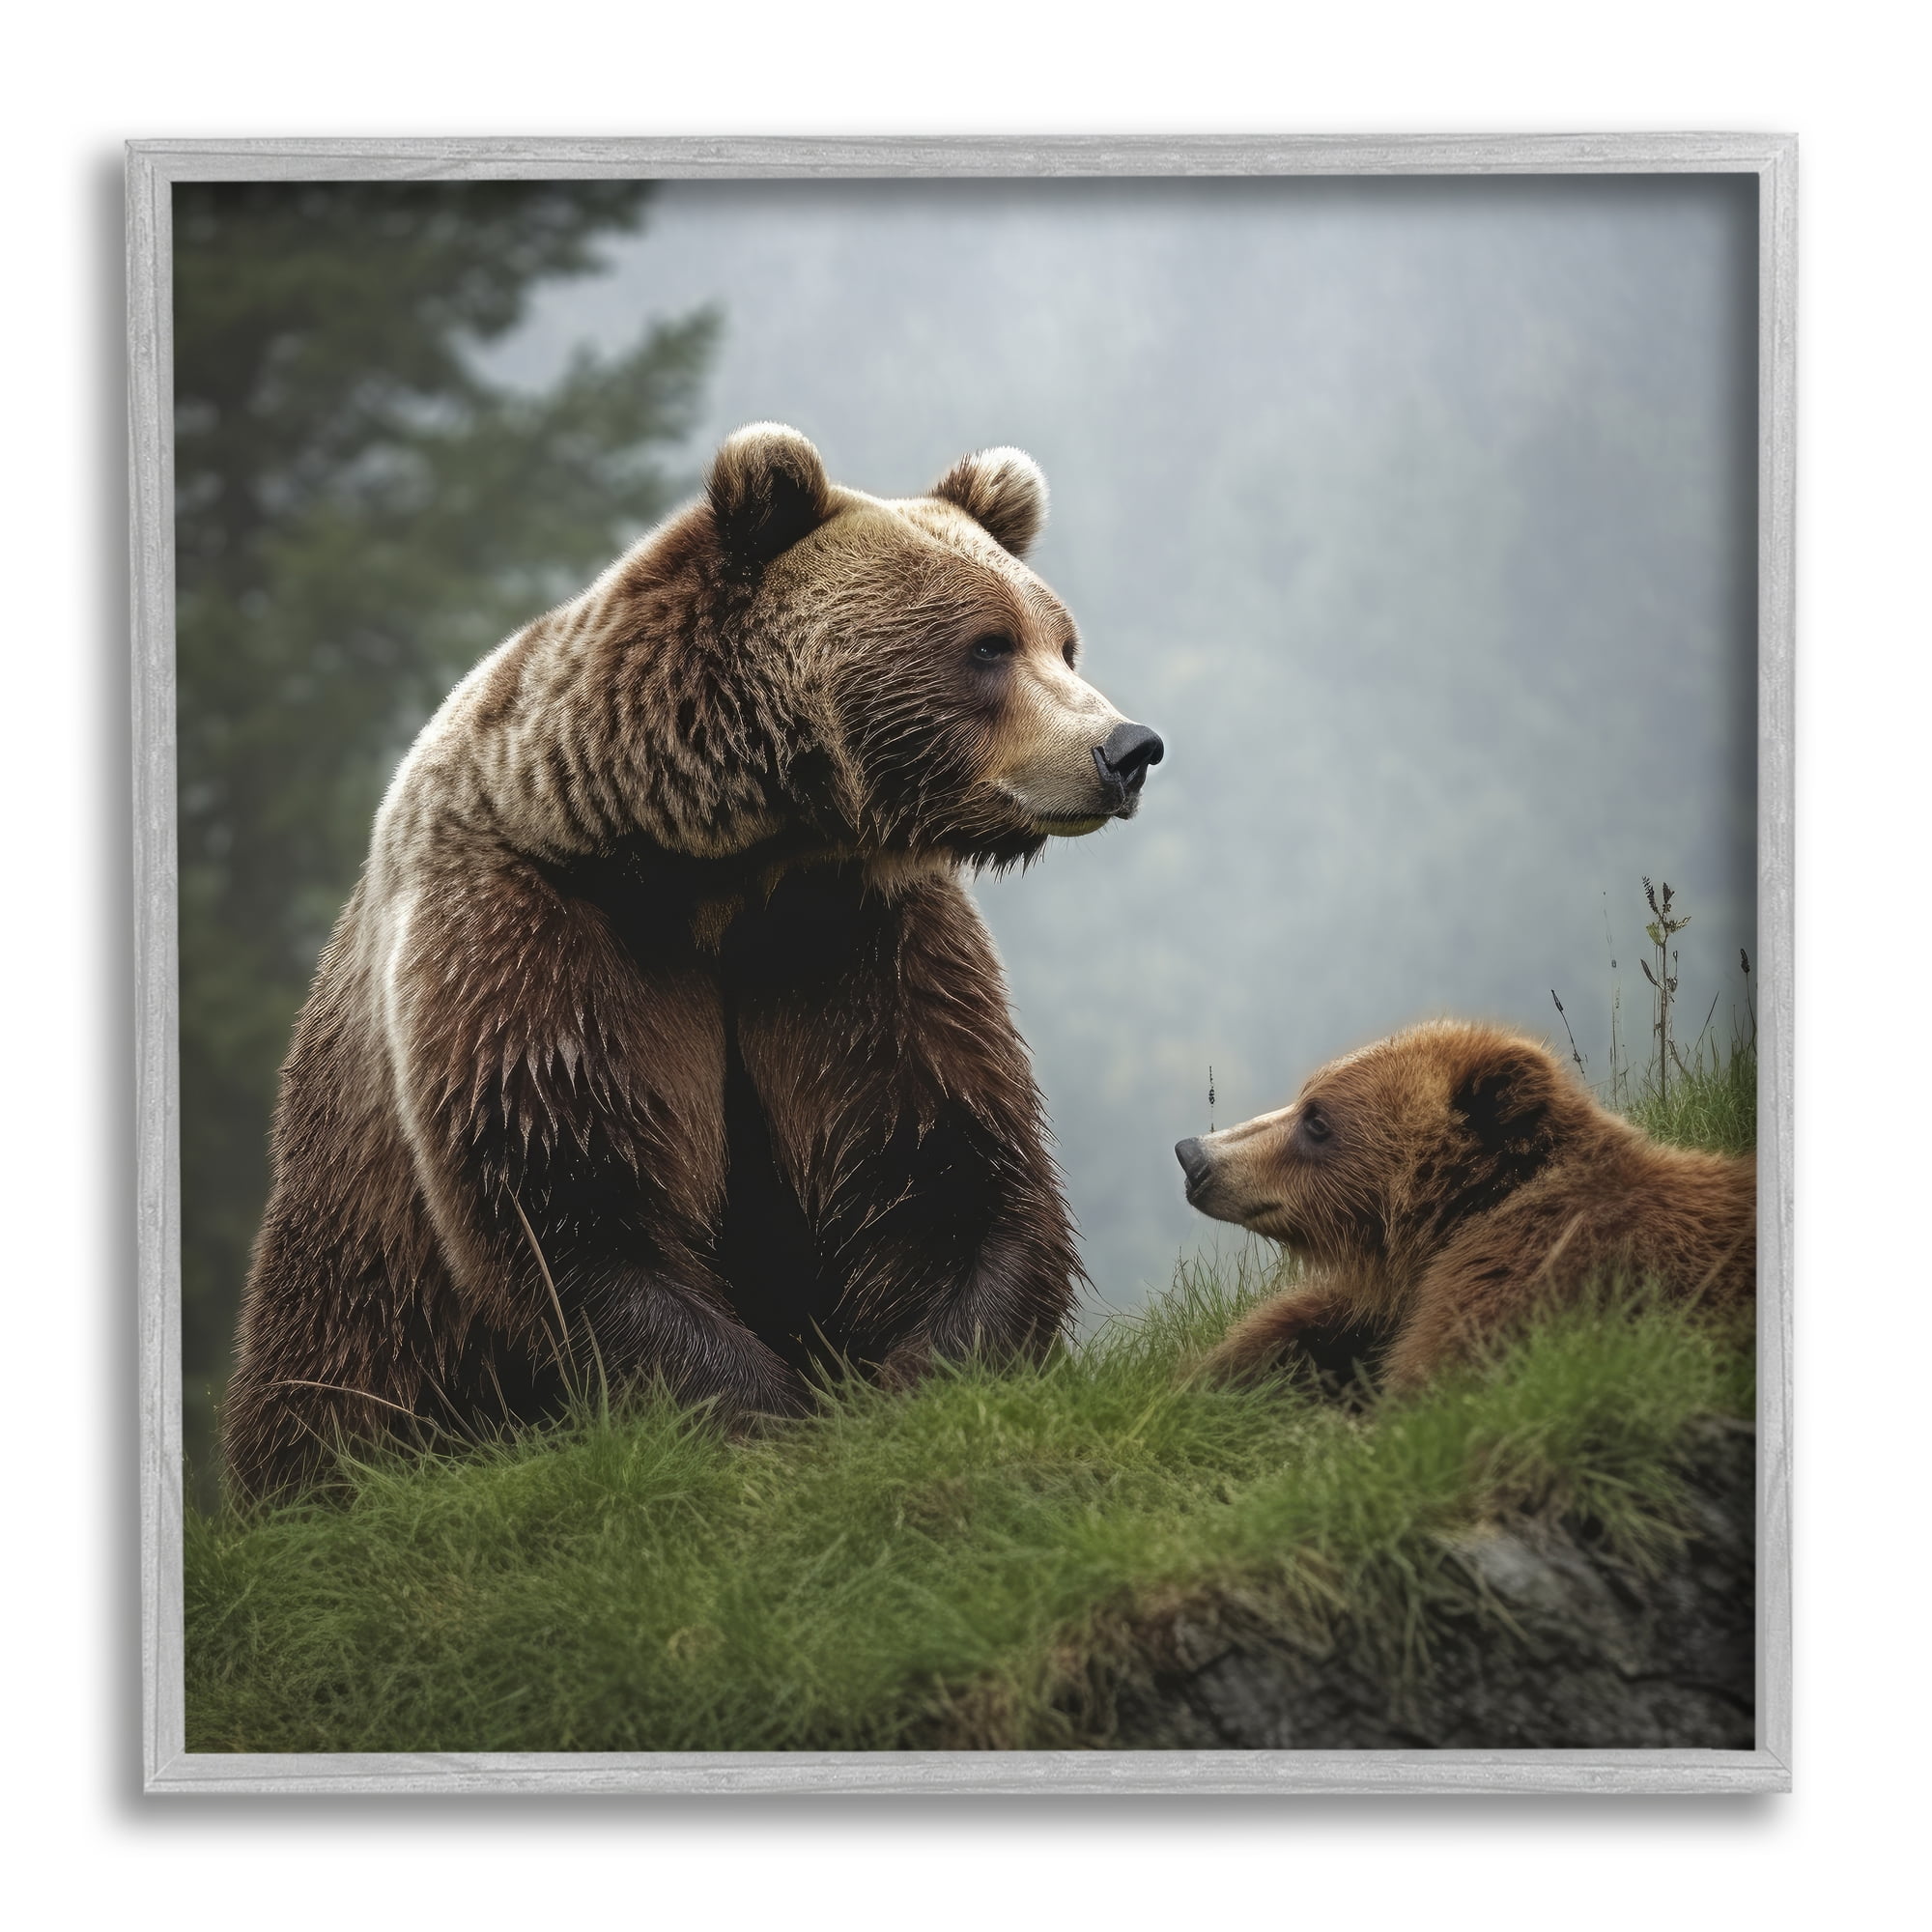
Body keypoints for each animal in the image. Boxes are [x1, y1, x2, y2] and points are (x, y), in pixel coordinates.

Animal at [220, 423, 1165, 1499]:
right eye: (987, 645)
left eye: (1061, 640)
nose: (1125, 747)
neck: (721, 860)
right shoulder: (535, 926)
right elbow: (573, 1196)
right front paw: (771, 1417)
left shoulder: (846, 936)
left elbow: (934, 1156)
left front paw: (929, 1384)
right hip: (350, 1310)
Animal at [1173, 1020, 1754, 1393]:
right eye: (1304, 1097)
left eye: (1317, 1120)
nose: (1194, 1156)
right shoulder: (1391, 1299)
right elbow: (1295, 1330)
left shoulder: (1523, 1275)